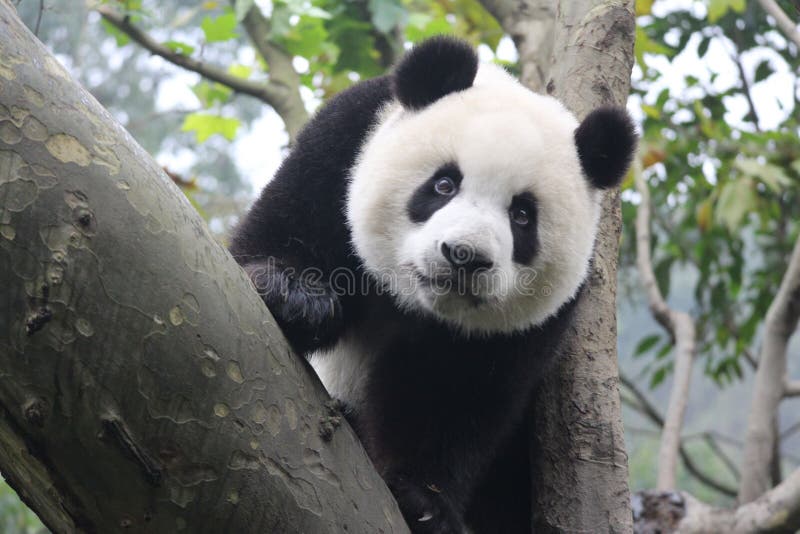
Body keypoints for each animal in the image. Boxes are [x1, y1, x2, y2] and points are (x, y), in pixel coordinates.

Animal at [230, 36, 635, 534]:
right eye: (444, 184)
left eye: (522, 215)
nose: (464, 255)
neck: (414, 303)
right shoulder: (347, 140)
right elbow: (290, 221)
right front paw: (297, 297)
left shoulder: (538, 317)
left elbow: (454, 394)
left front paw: (423, 500)